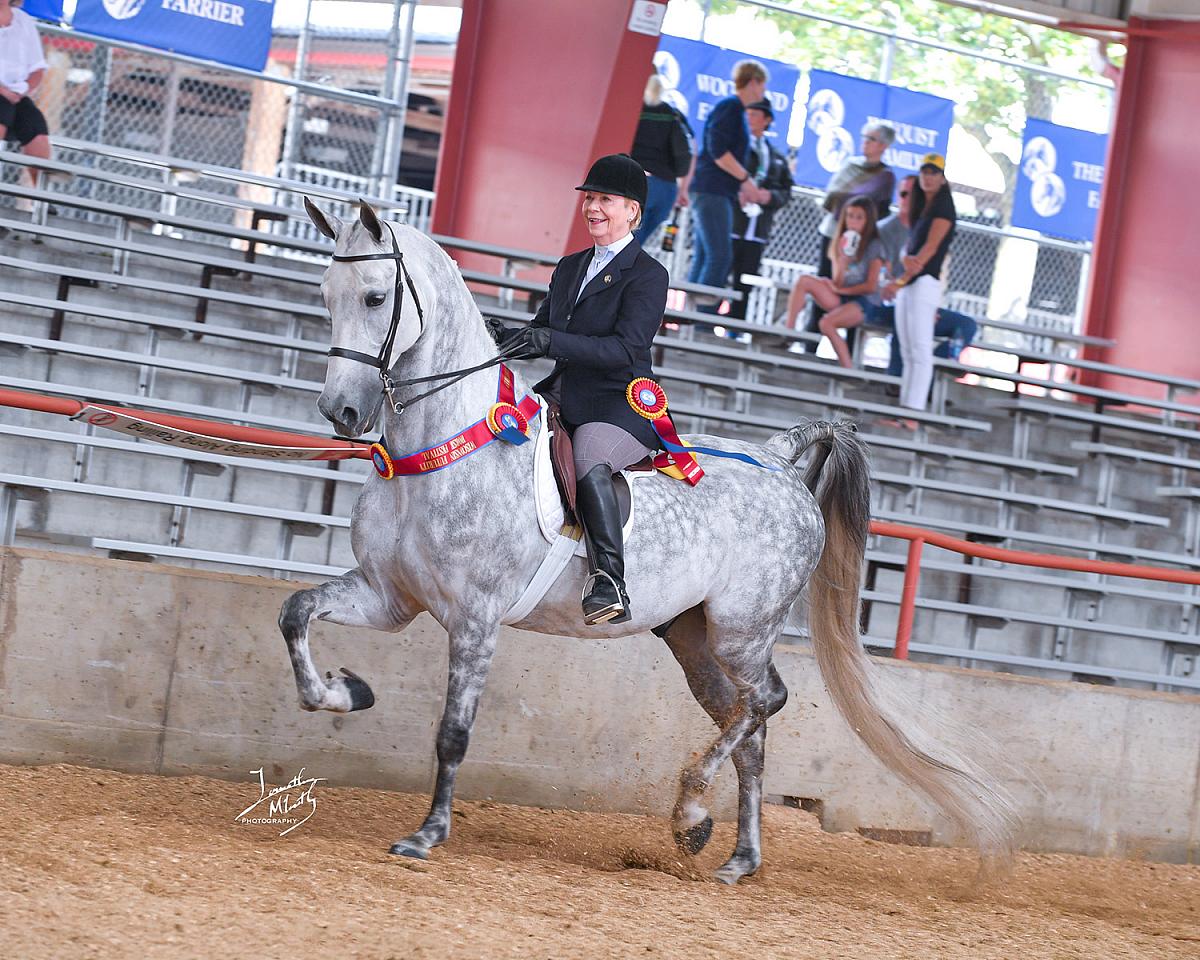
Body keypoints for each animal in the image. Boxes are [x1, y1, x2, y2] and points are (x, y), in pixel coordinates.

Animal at [279, 198, 1018, 884]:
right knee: (748, 727)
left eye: (375, 298)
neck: (444, 444)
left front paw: (427, 835)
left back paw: (692, 810)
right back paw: (735, 857)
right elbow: (296, 613)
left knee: (765, 703)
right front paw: (344, 692)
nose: (342, 412)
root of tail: (780, 461)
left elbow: (453, 733)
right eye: (325, 293)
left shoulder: (475, 620)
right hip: (694, 641)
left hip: (741, 631)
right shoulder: (387, 598)